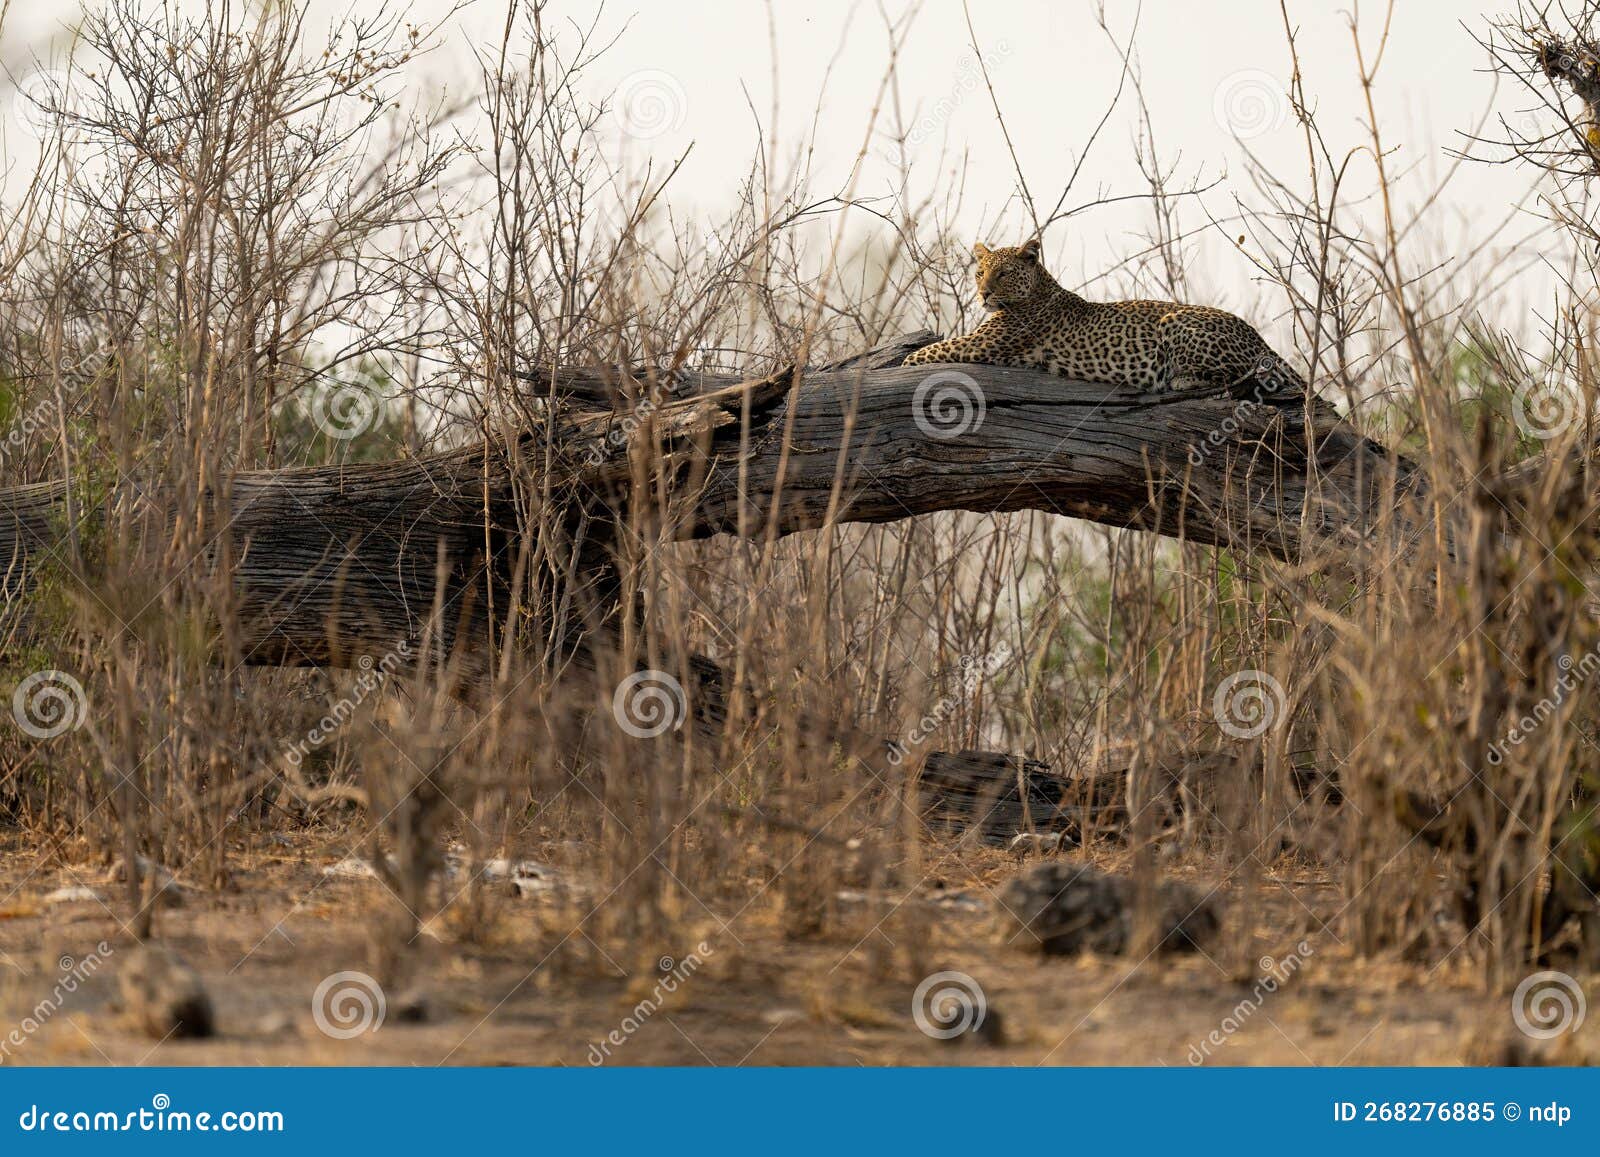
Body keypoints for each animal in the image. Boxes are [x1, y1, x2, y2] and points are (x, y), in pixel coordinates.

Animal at [903, 239, 1324, 412]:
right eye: (979, 273)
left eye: (1003, 273)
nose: (984, 294)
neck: (1039, 288)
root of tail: (1260, 339)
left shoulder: (978, 344)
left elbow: (924, 354)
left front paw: (899, 359)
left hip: (1175, 320)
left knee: (1238, 376)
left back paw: (1180, 379)